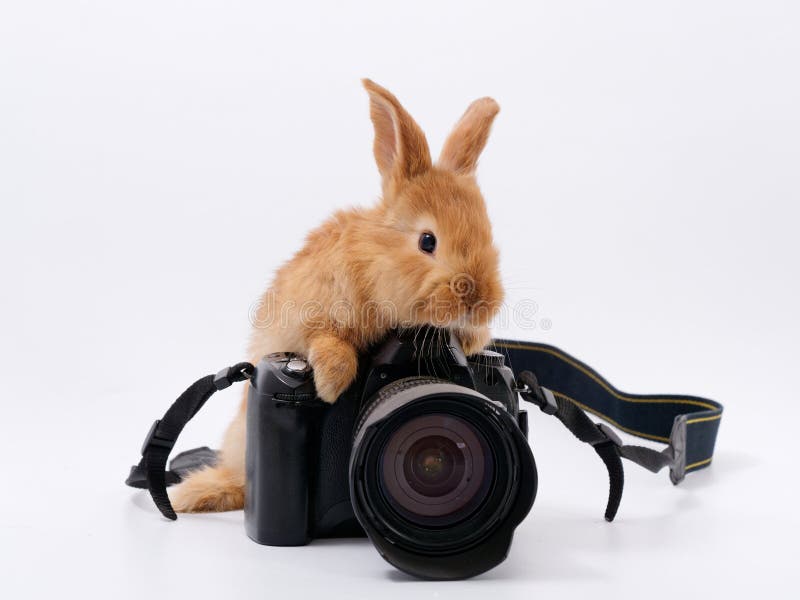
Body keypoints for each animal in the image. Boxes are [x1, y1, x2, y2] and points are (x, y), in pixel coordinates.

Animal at [169, 79, 504, 513]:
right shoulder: (316, 316)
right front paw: (330, 384)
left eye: (489, 235)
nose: (482, 301)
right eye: (427, 241)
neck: (374, 261)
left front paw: (472, 336)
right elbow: (330, 342)